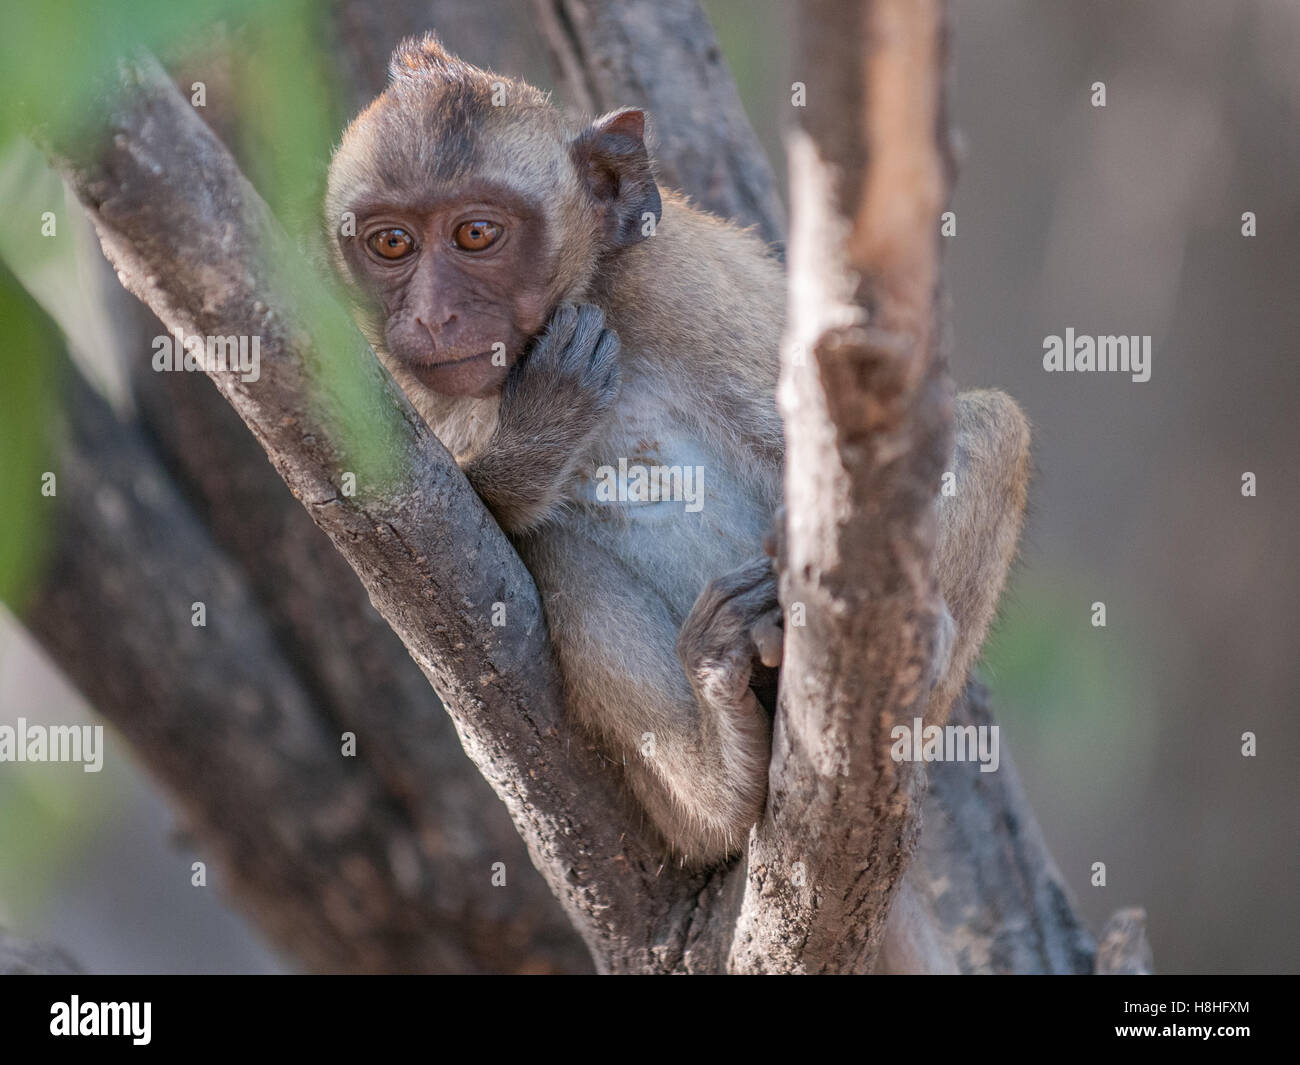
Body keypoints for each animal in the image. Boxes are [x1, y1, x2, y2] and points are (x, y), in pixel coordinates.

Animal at [325, 34, 1030, 866]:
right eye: (391, 243)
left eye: (475, 234)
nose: (434, 317)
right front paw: (537, 434)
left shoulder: (683, 288)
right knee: (556, 554)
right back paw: (721, 767)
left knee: (995, 426)